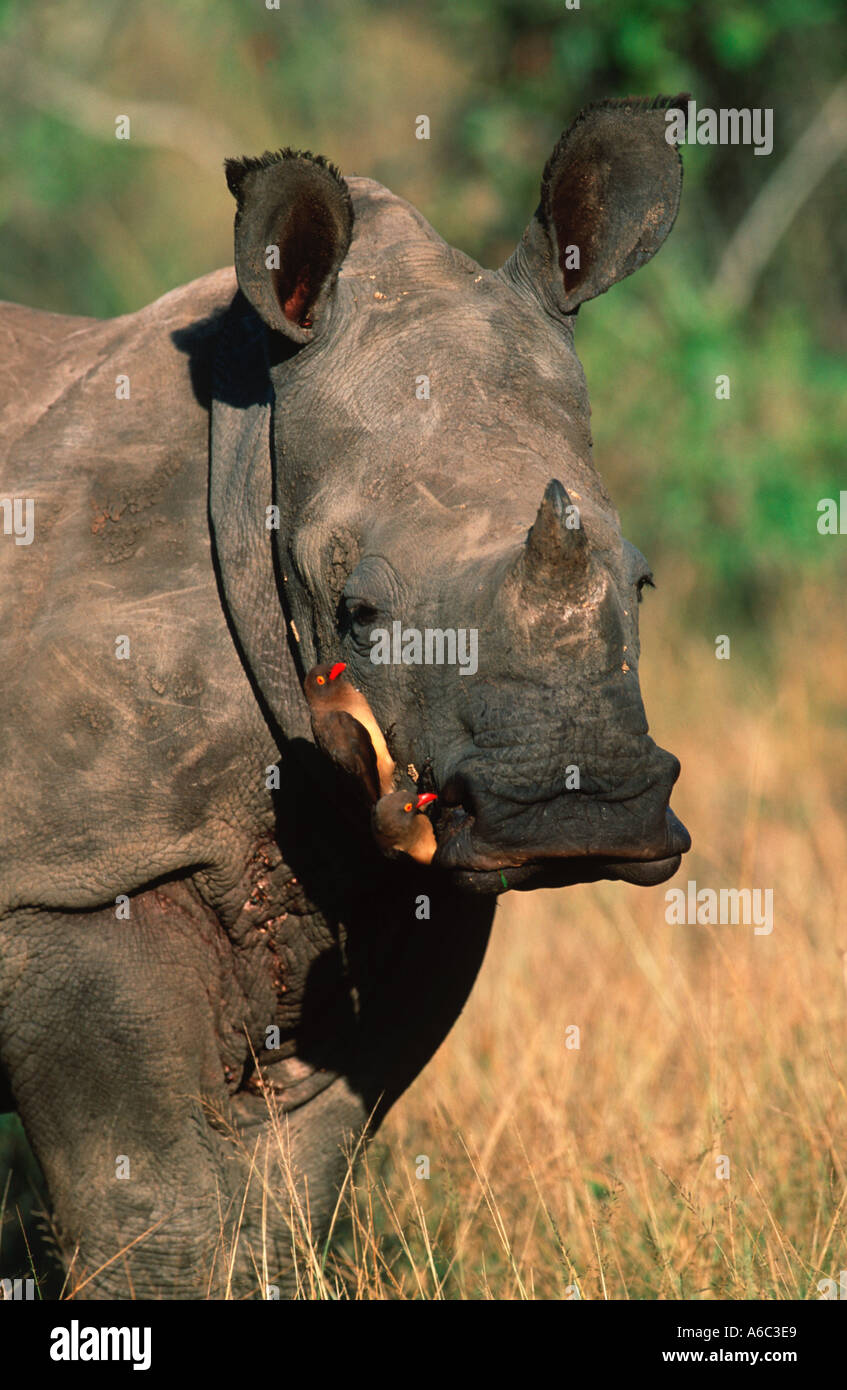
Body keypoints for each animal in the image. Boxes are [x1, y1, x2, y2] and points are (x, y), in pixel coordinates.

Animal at [0, 96, 690, 1299]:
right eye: (356, 609)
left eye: (642, 581)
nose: (581, 812)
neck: (253, 466)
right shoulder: (76, 869)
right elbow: (152, 1196)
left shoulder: (422, 864)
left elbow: (290, 1188)